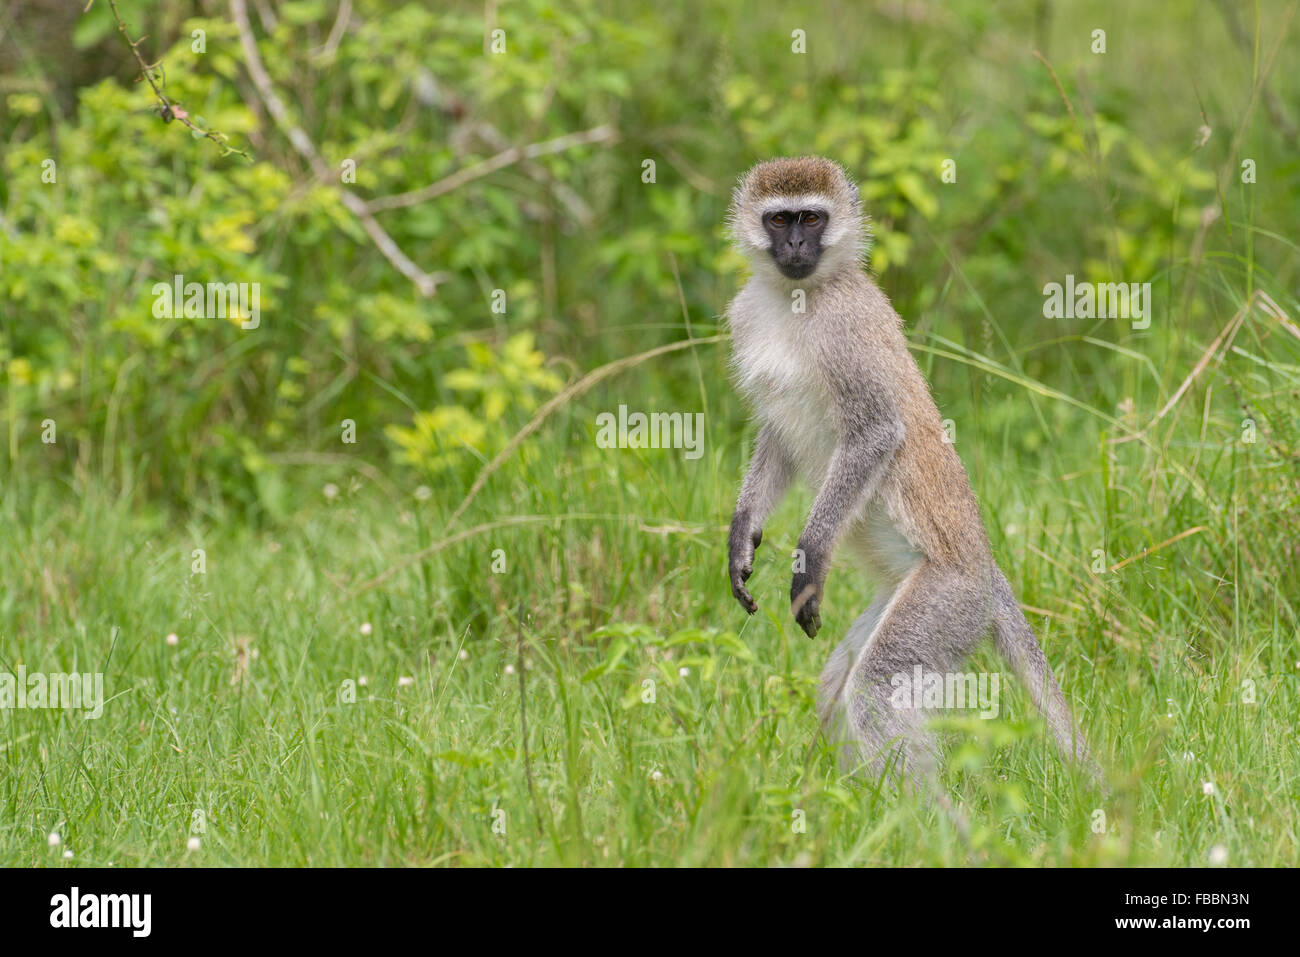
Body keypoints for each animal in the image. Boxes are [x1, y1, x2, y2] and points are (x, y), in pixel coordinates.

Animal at [724, 155, 1097, 789]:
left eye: (811, 218)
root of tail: (987, 570)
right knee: (842, 680)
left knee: (876, 685)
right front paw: (742, 537)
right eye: (779, 219)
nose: (796, 244)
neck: (798, 297)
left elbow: (877, 432)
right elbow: (778, 441)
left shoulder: (847, 330)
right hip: (911, 595)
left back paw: (928, 816)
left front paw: (810, 555)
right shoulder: (747, 317)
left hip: (947, 601)